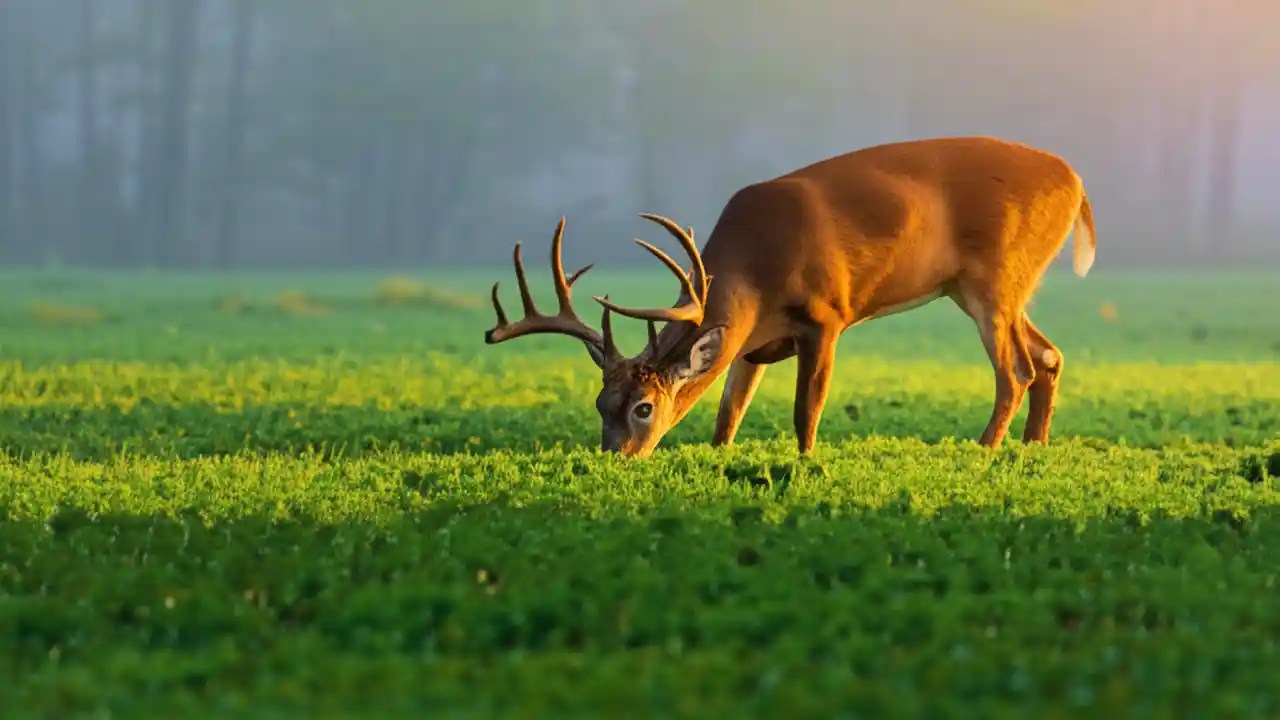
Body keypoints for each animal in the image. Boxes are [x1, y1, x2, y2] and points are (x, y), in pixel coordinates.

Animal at [484, 136, 1096, 458]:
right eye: (600, 403)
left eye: (644, 407)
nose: (615, 457)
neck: (754, 269)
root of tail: (1076, 182)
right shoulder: (750, 343)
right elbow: (728, 413)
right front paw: (719, 459)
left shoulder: (826, 315)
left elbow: (808, 408)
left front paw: (805, 463)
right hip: (983, 289)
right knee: (1048, 356)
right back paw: (1033, 447)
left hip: (994, 280)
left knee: (1016, 369)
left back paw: (984, 449)